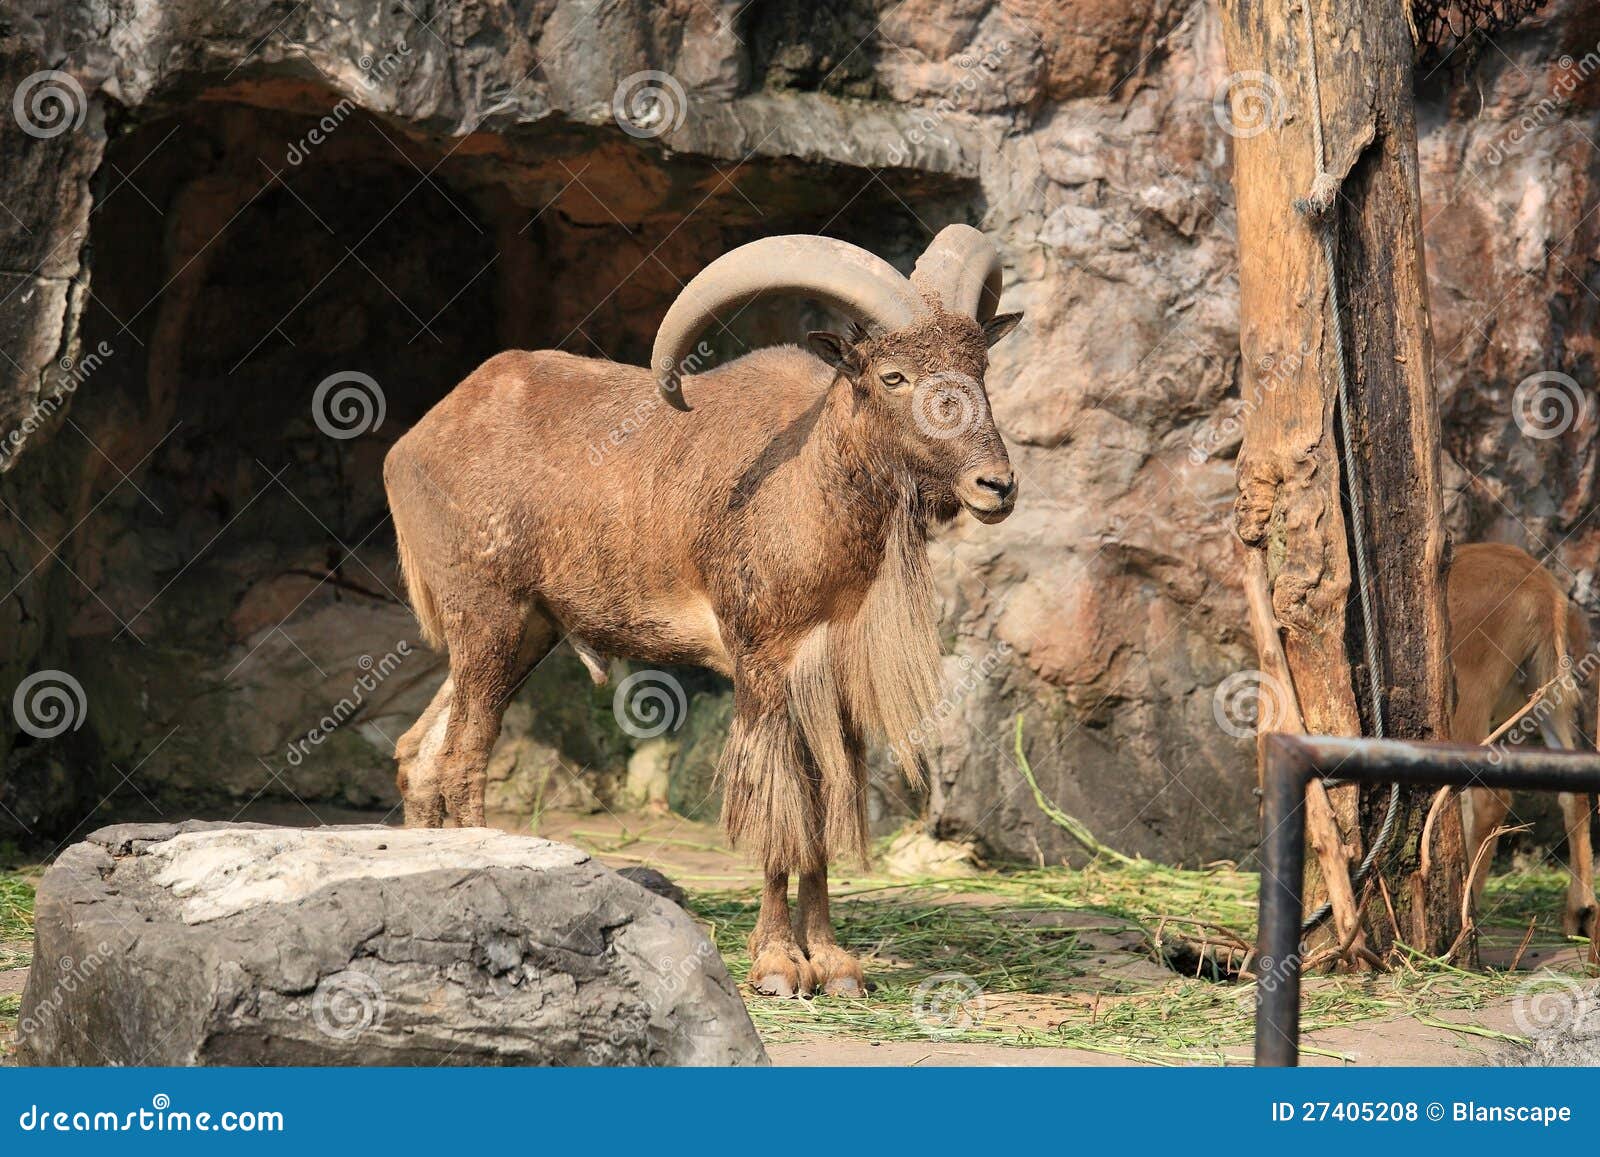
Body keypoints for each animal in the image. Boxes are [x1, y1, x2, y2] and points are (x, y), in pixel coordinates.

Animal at [384, 226, 1022, 997]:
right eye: (894, 376)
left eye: (979, 366)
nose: (996, 485)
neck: (808, 483)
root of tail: (413, 442)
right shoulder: (762, 665)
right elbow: (779, 808)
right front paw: (778, 965)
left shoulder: (830, 684)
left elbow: (821, 812)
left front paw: (833, 962)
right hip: (490, 616)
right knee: (463, 756)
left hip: (526, 631)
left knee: (419, 753)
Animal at [1449, 541, 1597, 938]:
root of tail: (1542, 590)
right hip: (1546, 692)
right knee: (1575, 793)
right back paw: (1581, 912)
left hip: (1470, 701)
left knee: (1490, 799)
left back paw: (1466, 912)